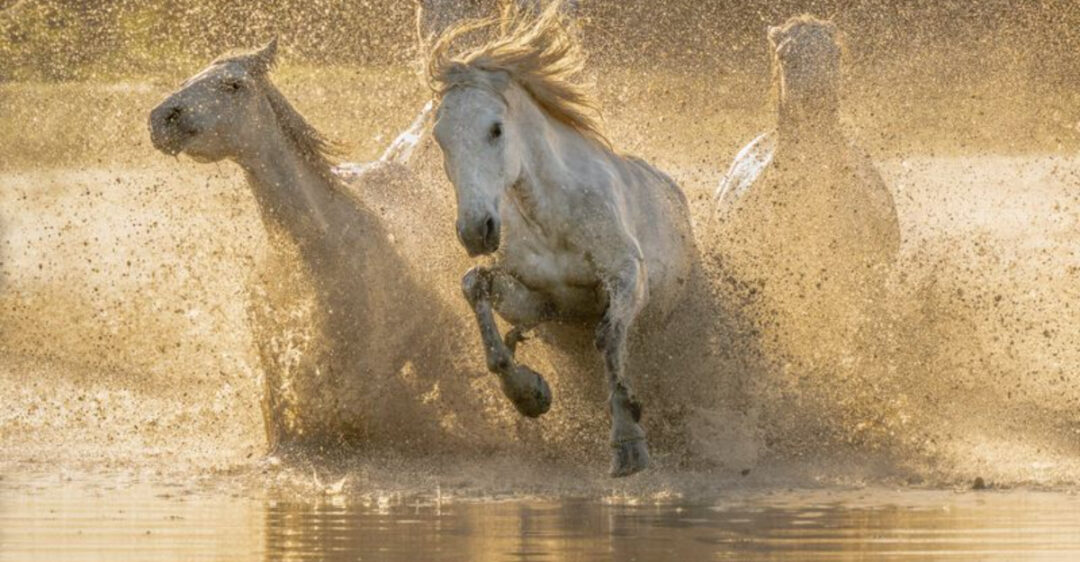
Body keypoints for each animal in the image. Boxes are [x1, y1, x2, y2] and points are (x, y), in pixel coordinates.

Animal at [427, 3, 696, 477]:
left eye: (496, 129)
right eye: (439, 137)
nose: (476, 230)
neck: (552, 217)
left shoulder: (626, 276)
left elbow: (608, 337)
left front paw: (628, 444)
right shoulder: (548, 304)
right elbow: (474, 285)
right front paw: (528, 392)